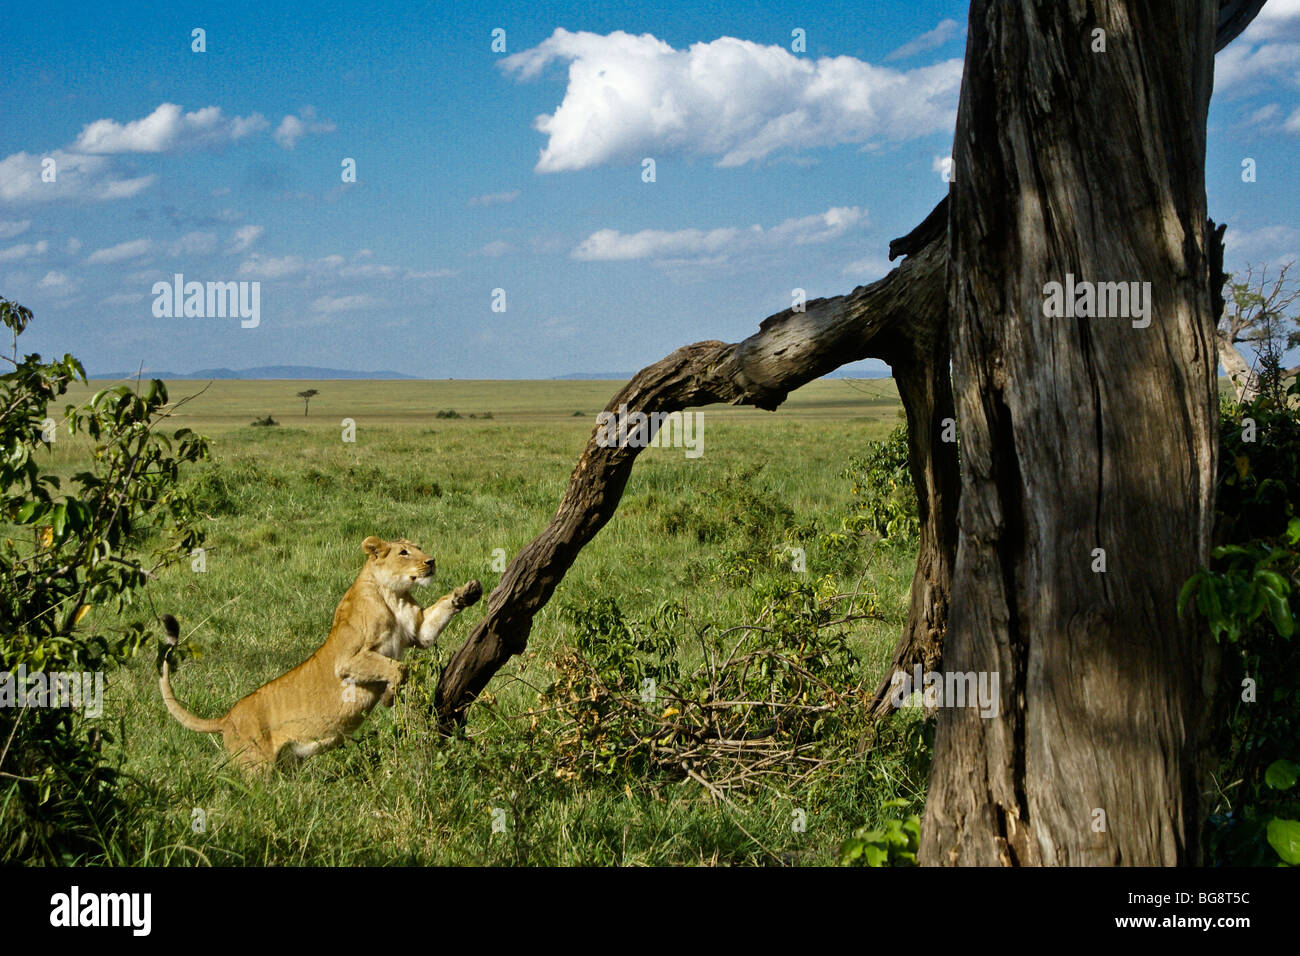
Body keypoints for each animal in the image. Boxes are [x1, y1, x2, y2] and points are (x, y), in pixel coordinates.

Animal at [159, 535, 482, 772]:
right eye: (404, 552)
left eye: (419, 548)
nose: (431, 561)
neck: (394, 596)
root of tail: (227, 717)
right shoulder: (347, 661)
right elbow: (397, 668)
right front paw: (389, 697)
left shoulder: (419, 631)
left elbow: (435, 618)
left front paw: (467, 592)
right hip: (255, 767)